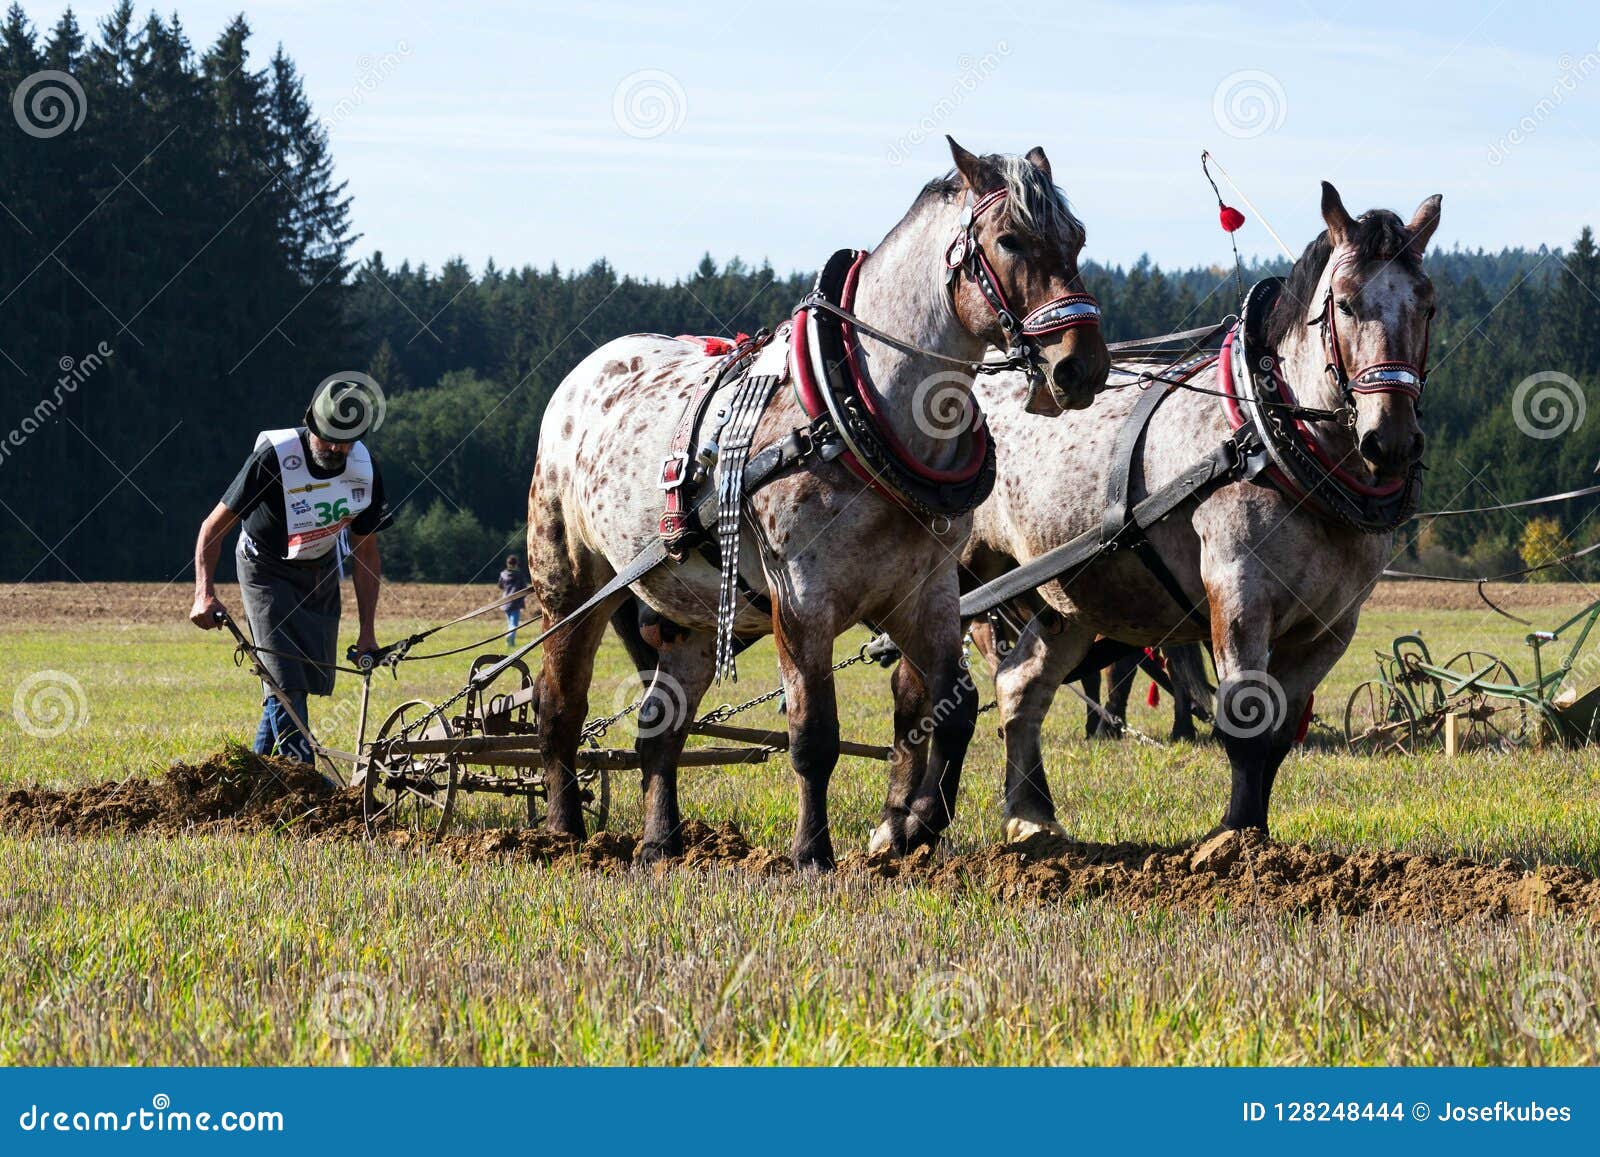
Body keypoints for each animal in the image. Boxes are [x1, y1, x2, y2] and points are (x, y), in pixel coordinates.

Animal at [526, 138, 1110, 867]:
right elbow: (814, 735)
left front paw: (917, 825)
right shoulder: (802, 598)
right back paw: (564, 833)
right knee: (559, 708)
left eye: (1078, 239)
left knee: (660, 727)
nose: (1082, 366)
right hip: (571, 586)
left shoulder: (924, 593)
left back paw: (661, 841)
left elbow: (952, 707)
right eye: (1010, 240)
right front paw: (812, 852)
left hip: (697, 614)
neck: (854, 414)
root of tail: (582, 374)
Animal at [955, 181, 1440, 842]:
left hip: (1071, 598)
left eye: (1428, 306)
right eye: (1343, 303)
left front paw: (1258, 837)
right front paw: (1235, 843)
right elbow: (1246, 728)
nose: (1389, 441)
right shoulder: (1237, 593)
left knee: (1019, 686)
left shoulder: (1331, 626)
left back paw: (1030, 815)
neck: (1270, 440)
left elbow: (1279, 737)